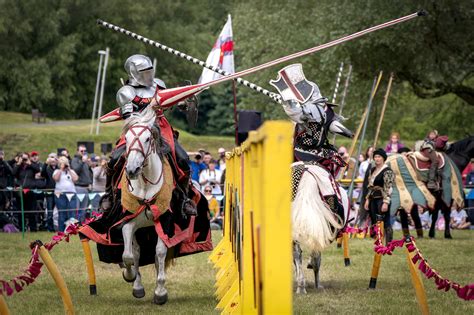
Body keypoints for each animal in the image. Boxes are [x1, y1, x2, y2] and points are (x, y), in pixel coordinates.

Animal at [121, 107, 173, 306]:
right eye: (127, 138)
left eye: (147, 139)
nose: (132, 170)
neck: (145, 186)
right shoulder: (130, 221)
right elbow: (129, 255)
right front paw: (130, 276)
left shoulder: (164, 220)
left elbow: (160, 252)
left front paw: (160, 292)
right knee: (136, 252)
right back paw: (137, 285)